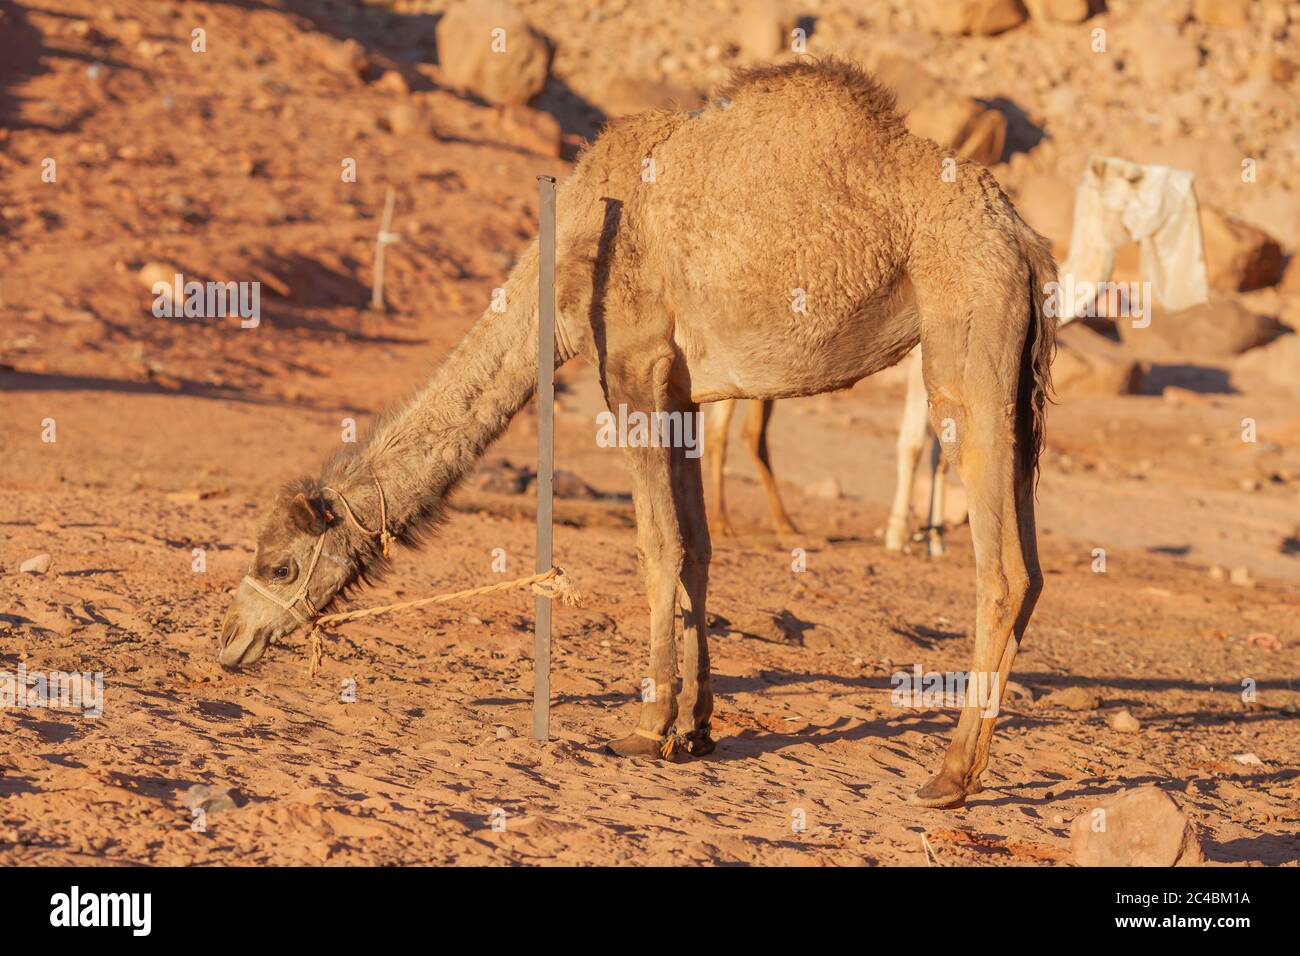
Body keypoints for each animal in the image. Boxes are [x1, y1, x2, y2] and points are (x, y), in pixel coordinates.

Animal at [218, 59, 1057, 809]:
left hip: (965, 327)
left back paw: (950, 777)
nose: (228, 638)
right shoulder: (681, 387)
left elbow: (659, 543)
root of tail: (1022, 235)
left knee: (1002, 568)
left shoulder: (630, 360)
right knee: (1030, 558)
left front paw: (646, 725)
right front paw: (697, 730)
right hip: (1016, 374)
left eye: (282, 566)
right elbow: (700, 548)